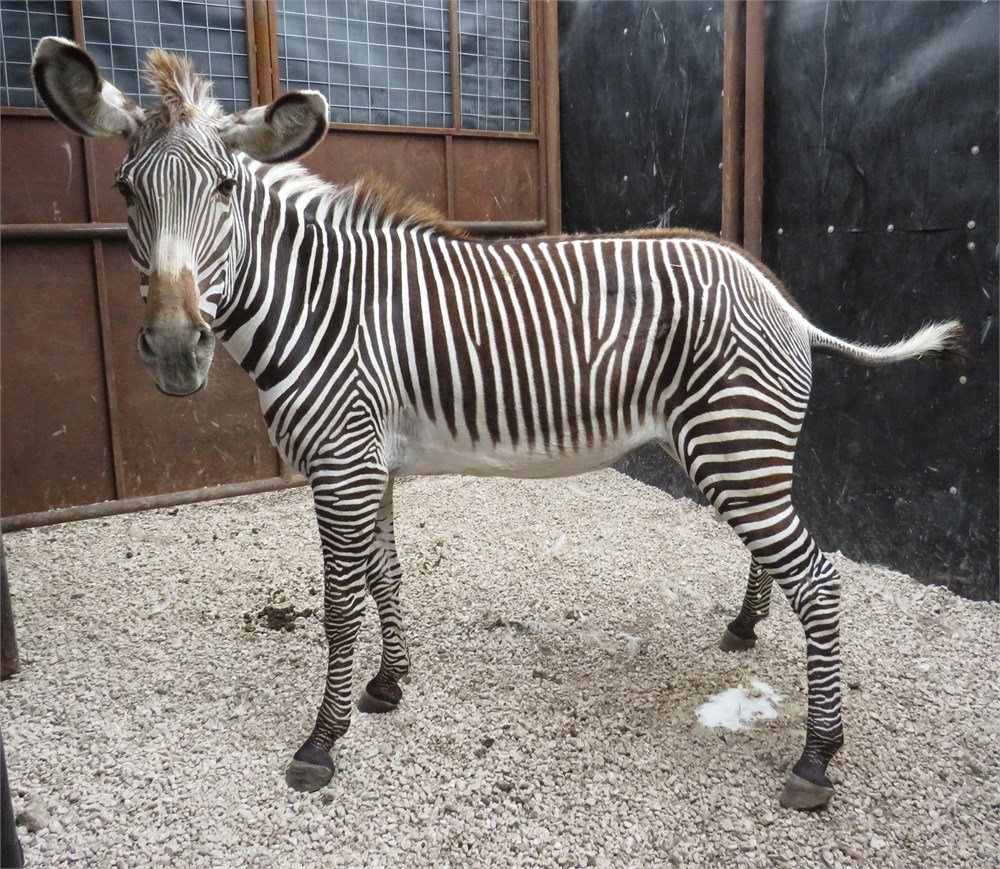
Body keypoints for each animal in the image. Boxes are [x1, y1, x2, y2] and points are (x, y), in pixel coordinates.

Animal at [33, 38, 965, 810]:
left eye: (225, 191)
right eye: (124, 192)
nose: (174, 350)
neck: (317, 305)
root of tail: (778, 292)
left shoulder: (339, 461)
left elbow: (338, 602)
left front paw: (321, 742)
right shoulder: (372, 460)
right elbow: (387, 576)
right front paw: (389, 685)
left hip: (732, 444)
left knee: (821, 579)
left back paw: (816, 756)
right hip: (743, 447)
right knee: (786, 558)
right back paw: (746, 628)